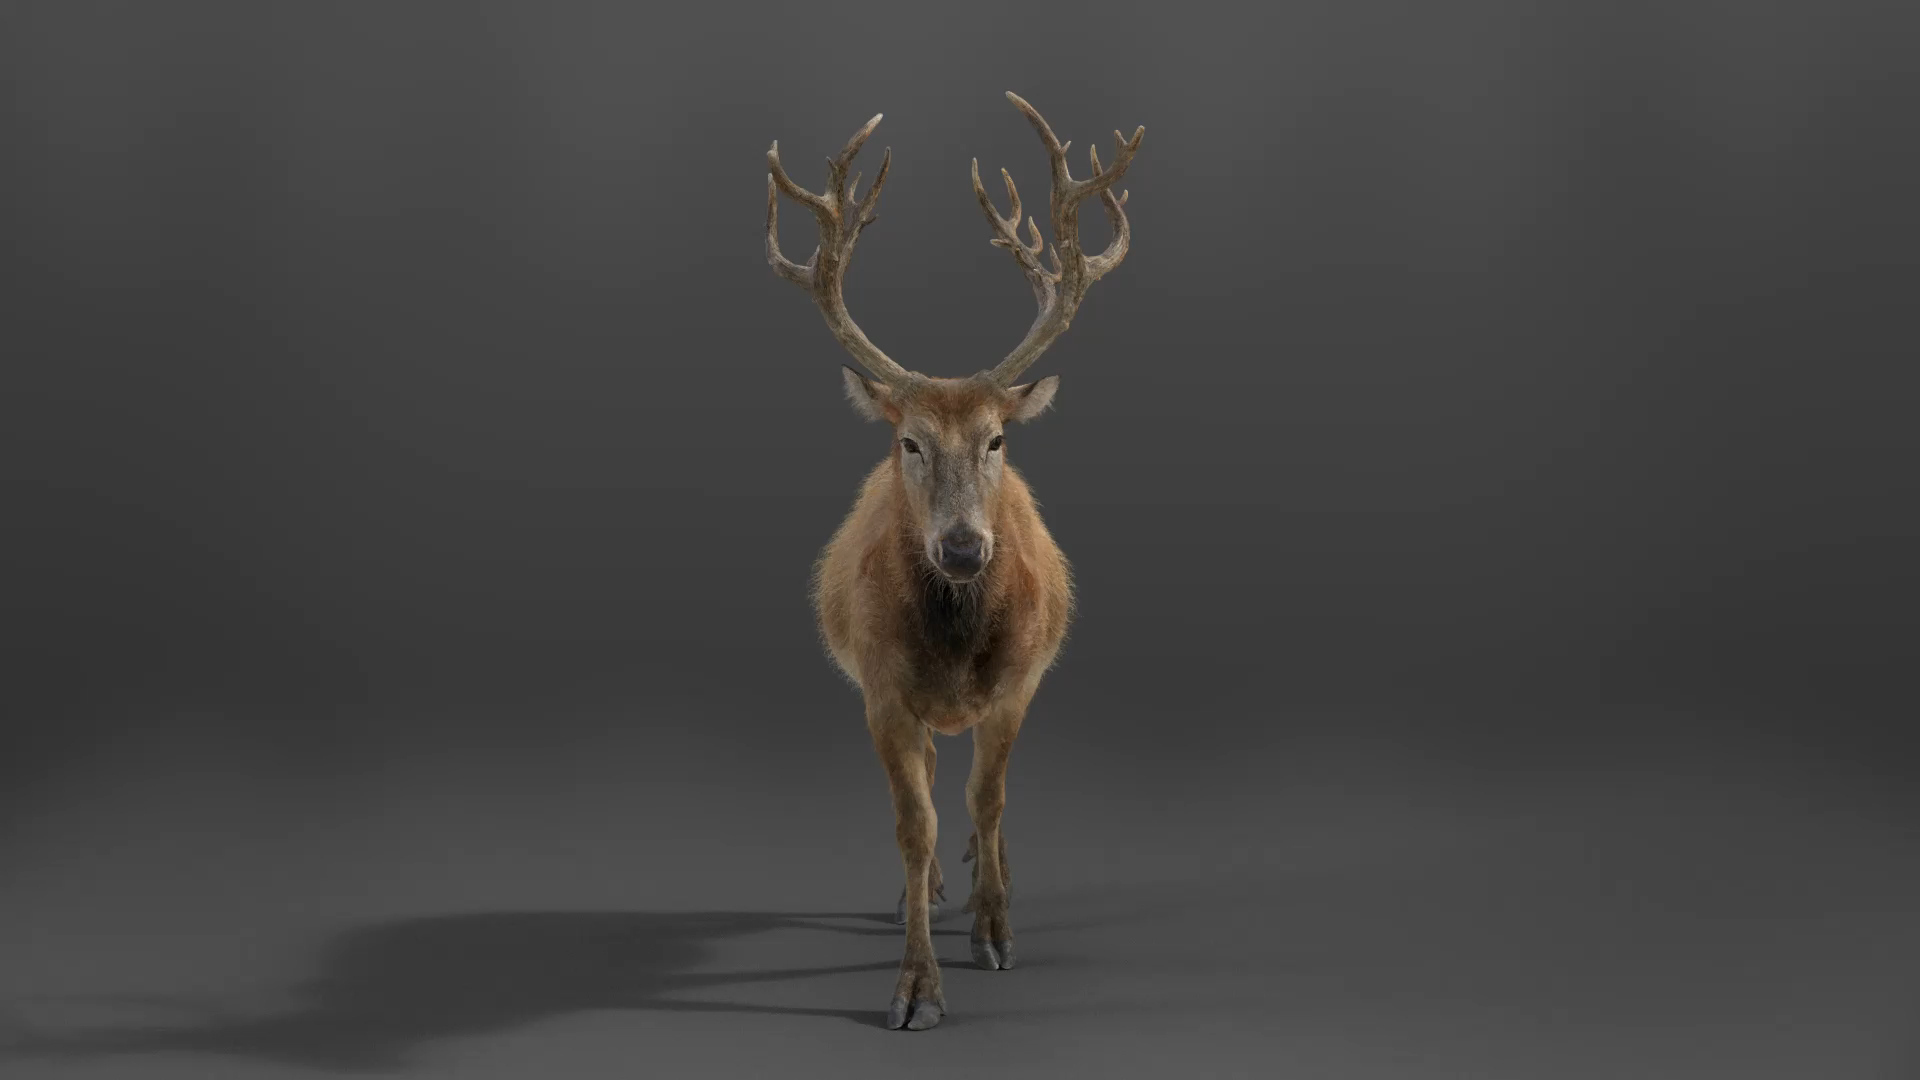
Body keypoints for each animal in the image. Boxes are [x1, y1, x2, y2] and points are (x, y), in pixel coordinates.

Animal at [764, 92, 1143, 1031]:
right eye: (909, 441)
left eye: (997, 437)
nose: (965, 547)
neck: (957, 648)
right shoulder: (880, 687)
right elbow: (914, 821)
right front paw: (915, 986)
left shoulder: (1017, 684)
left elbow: (989, 798)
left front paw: (996, 931)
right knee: (936, 784)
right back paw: (931, 890)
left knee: (978, 794)